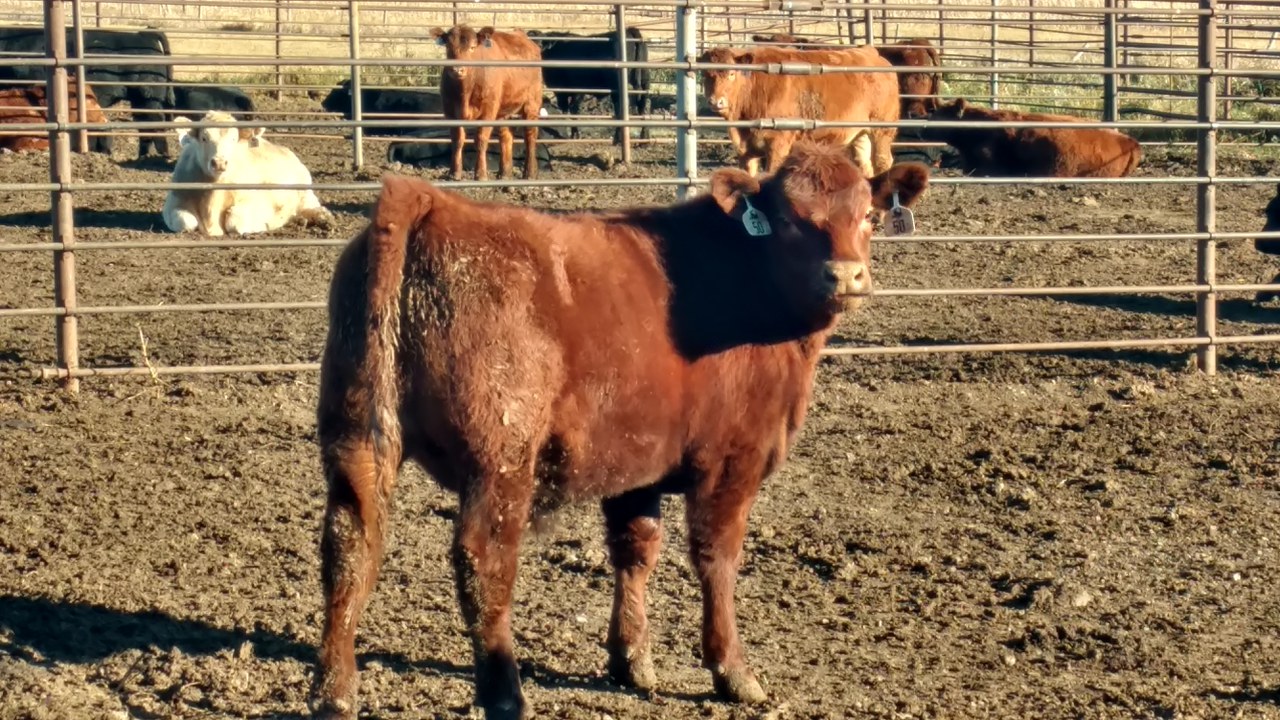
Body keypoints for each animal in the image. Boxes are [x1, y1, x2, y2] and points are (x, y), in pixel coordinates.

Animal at [161, 111, 331, 236]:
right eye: (204, 138)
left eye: (233, 138)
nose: (220, 163)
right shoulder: (172, 204)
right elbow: (186, 221)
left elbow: (234, 220)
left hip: (305, 192)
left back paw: (321, 216)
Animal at [310, 140, 931, 720]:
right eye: (786, 219)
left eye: (868, 214)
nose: (846, 274)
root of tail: (432, 203)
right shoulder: (733, 459)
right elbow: (717, 558)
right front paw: (732, 670)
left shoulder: (637, 465)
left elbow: (636, 549)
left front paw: (632, 659)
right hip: (500, 459)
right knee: (483, 560)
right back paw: (505, 693)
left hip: (355, 438)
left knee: (349, 546)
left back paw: (334, 690)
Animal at [431, 25, 543, 181]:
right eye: (448, 46)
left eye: (472, 47)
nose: (457, 69)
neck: (465, 91)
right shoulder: (450, 112)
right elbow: (457, 140)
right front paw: (454, 173)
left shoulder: (488, 110)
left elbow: (481, 140)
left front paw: (481, 174)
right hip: (504, 111)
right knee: (506, 137)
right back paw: (504, 174)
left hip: (531, 104)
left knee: (530, 135)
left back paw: (530, 172)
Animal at [699, 45, 900, 178]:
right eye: (706, 75)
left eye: (732, 73)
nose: (716, 101)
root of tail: (872, 53)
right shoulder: (745, 150)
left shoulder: (778, 143)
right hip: (860, 134)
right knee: (865, 166)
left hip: (882, 129)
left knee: (882, 162)